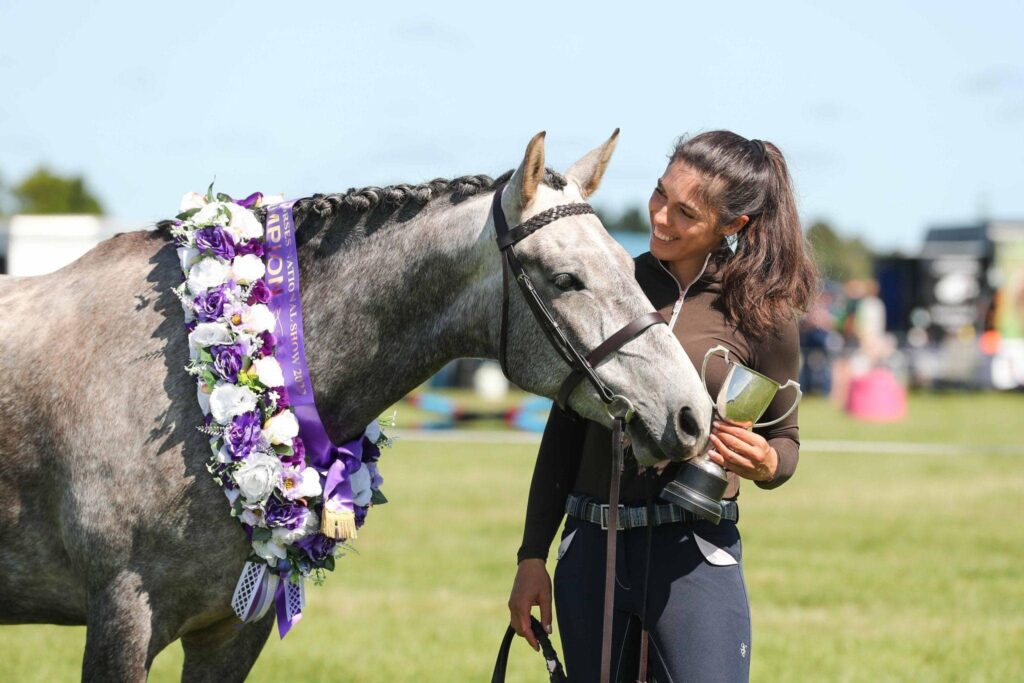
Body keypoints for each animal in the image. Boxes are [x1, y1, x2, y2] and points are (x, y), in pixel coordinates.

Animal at [0, 131, 712, 681]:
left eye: (631, 264)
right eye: (566, 279)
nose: (691, 416)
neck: (183, 391)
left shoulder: (230, 631)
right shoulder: (122, 621)